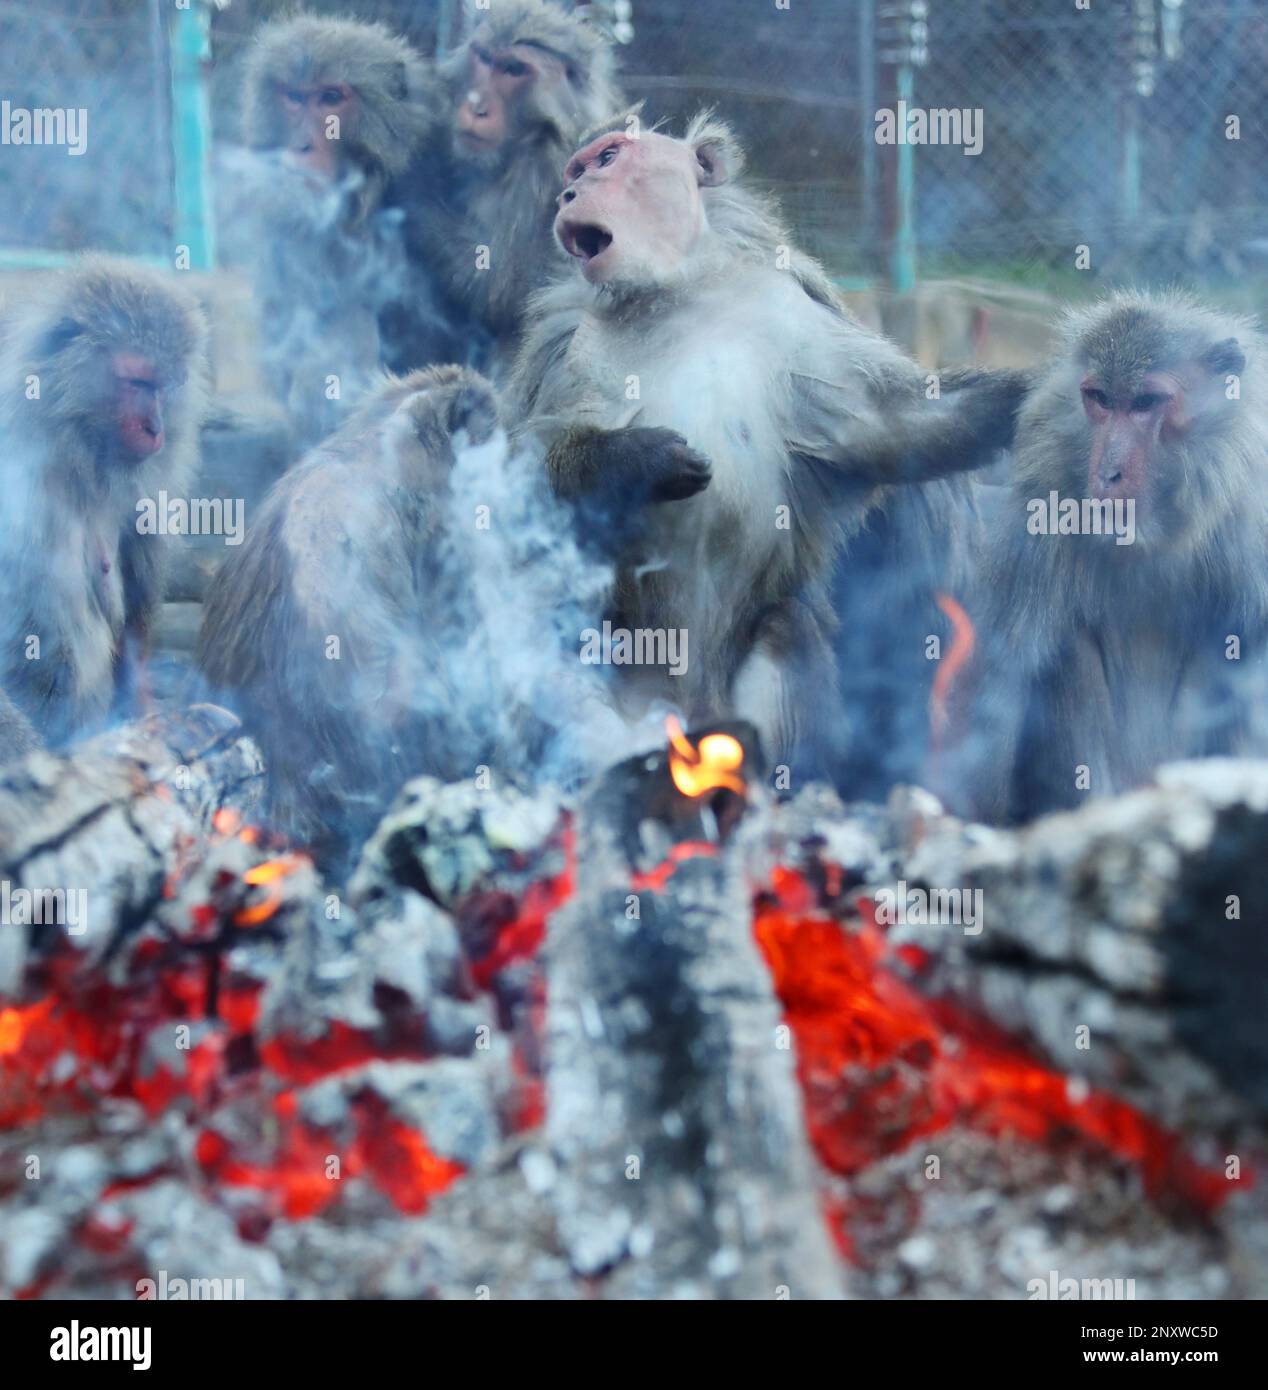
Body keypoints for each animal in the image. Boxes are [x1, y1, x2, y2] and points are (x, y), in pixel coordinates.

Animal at [391, 0, 624, 376]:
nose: (476, 107)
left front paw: (415, 175)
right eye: (484, 58)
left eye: (514, 69)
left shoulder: (546, 170)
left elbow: (498, 283)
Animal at [507, 113, 1028, 764]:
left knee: (786, 629)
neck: (672, 298)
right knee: (559, 672)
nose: (568, 195)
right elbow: (517, 482)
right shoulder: (565, 350)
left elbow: (888, 423)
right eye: (574, 171)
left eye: (606, 158)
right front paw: (639, 460)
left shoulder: (787, 312)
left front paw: (1027, 398)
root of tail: (693, 715)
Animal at [943, 293, 1268, 824]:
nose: (1108, 472)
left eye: (1145, 403)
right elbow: (999, 665)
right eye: (1100, 399)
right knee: (1066, 649)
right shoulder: (1044, 492)